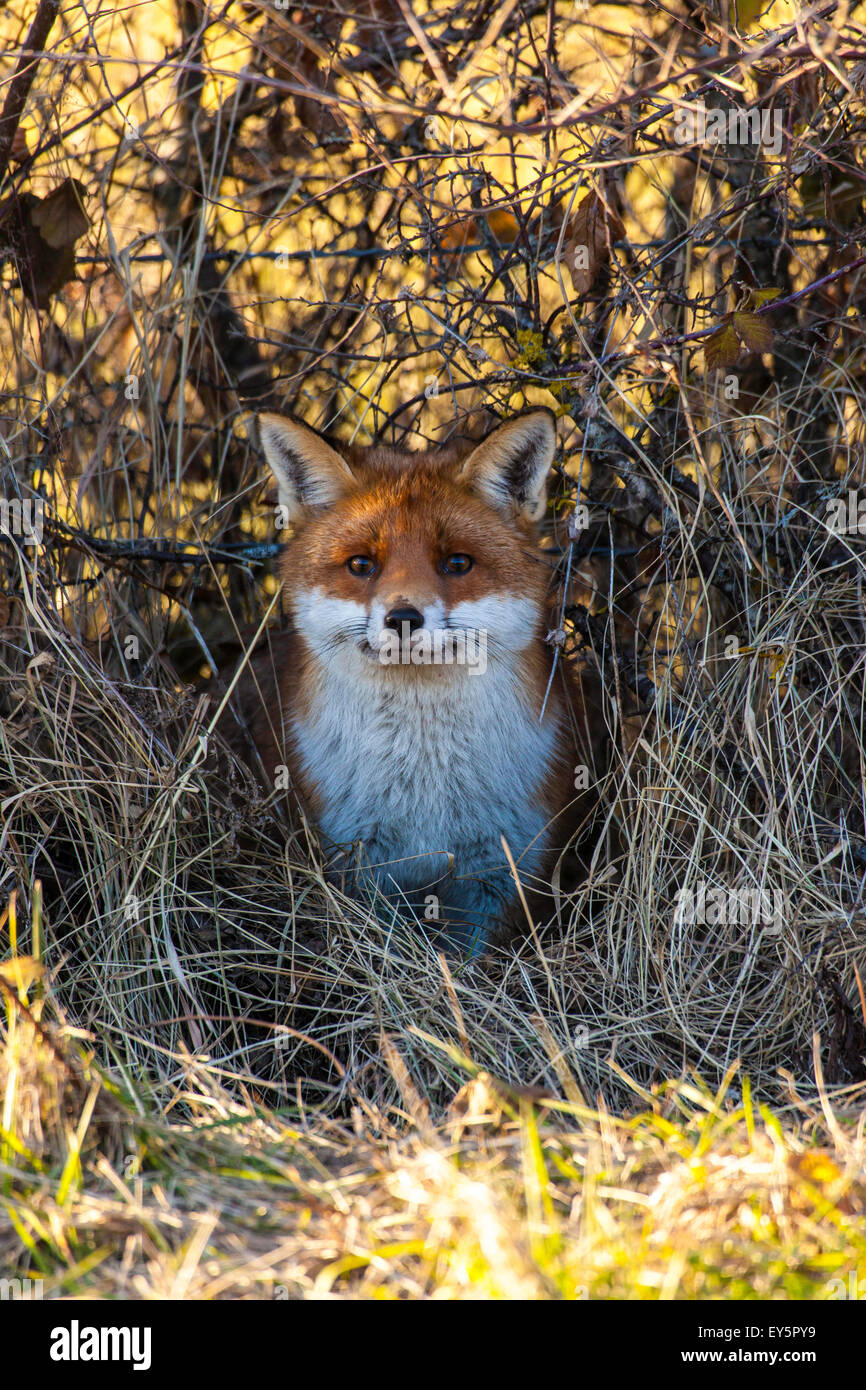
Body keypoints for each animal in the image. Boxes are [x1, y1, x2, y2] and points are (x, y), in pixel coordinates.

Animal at [215, 407, 606, 954]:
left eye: (457, 563)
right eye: (362, 564)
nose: (403, 618)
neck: (424, 790)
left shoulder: (502, 874)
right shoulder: (357, 866)